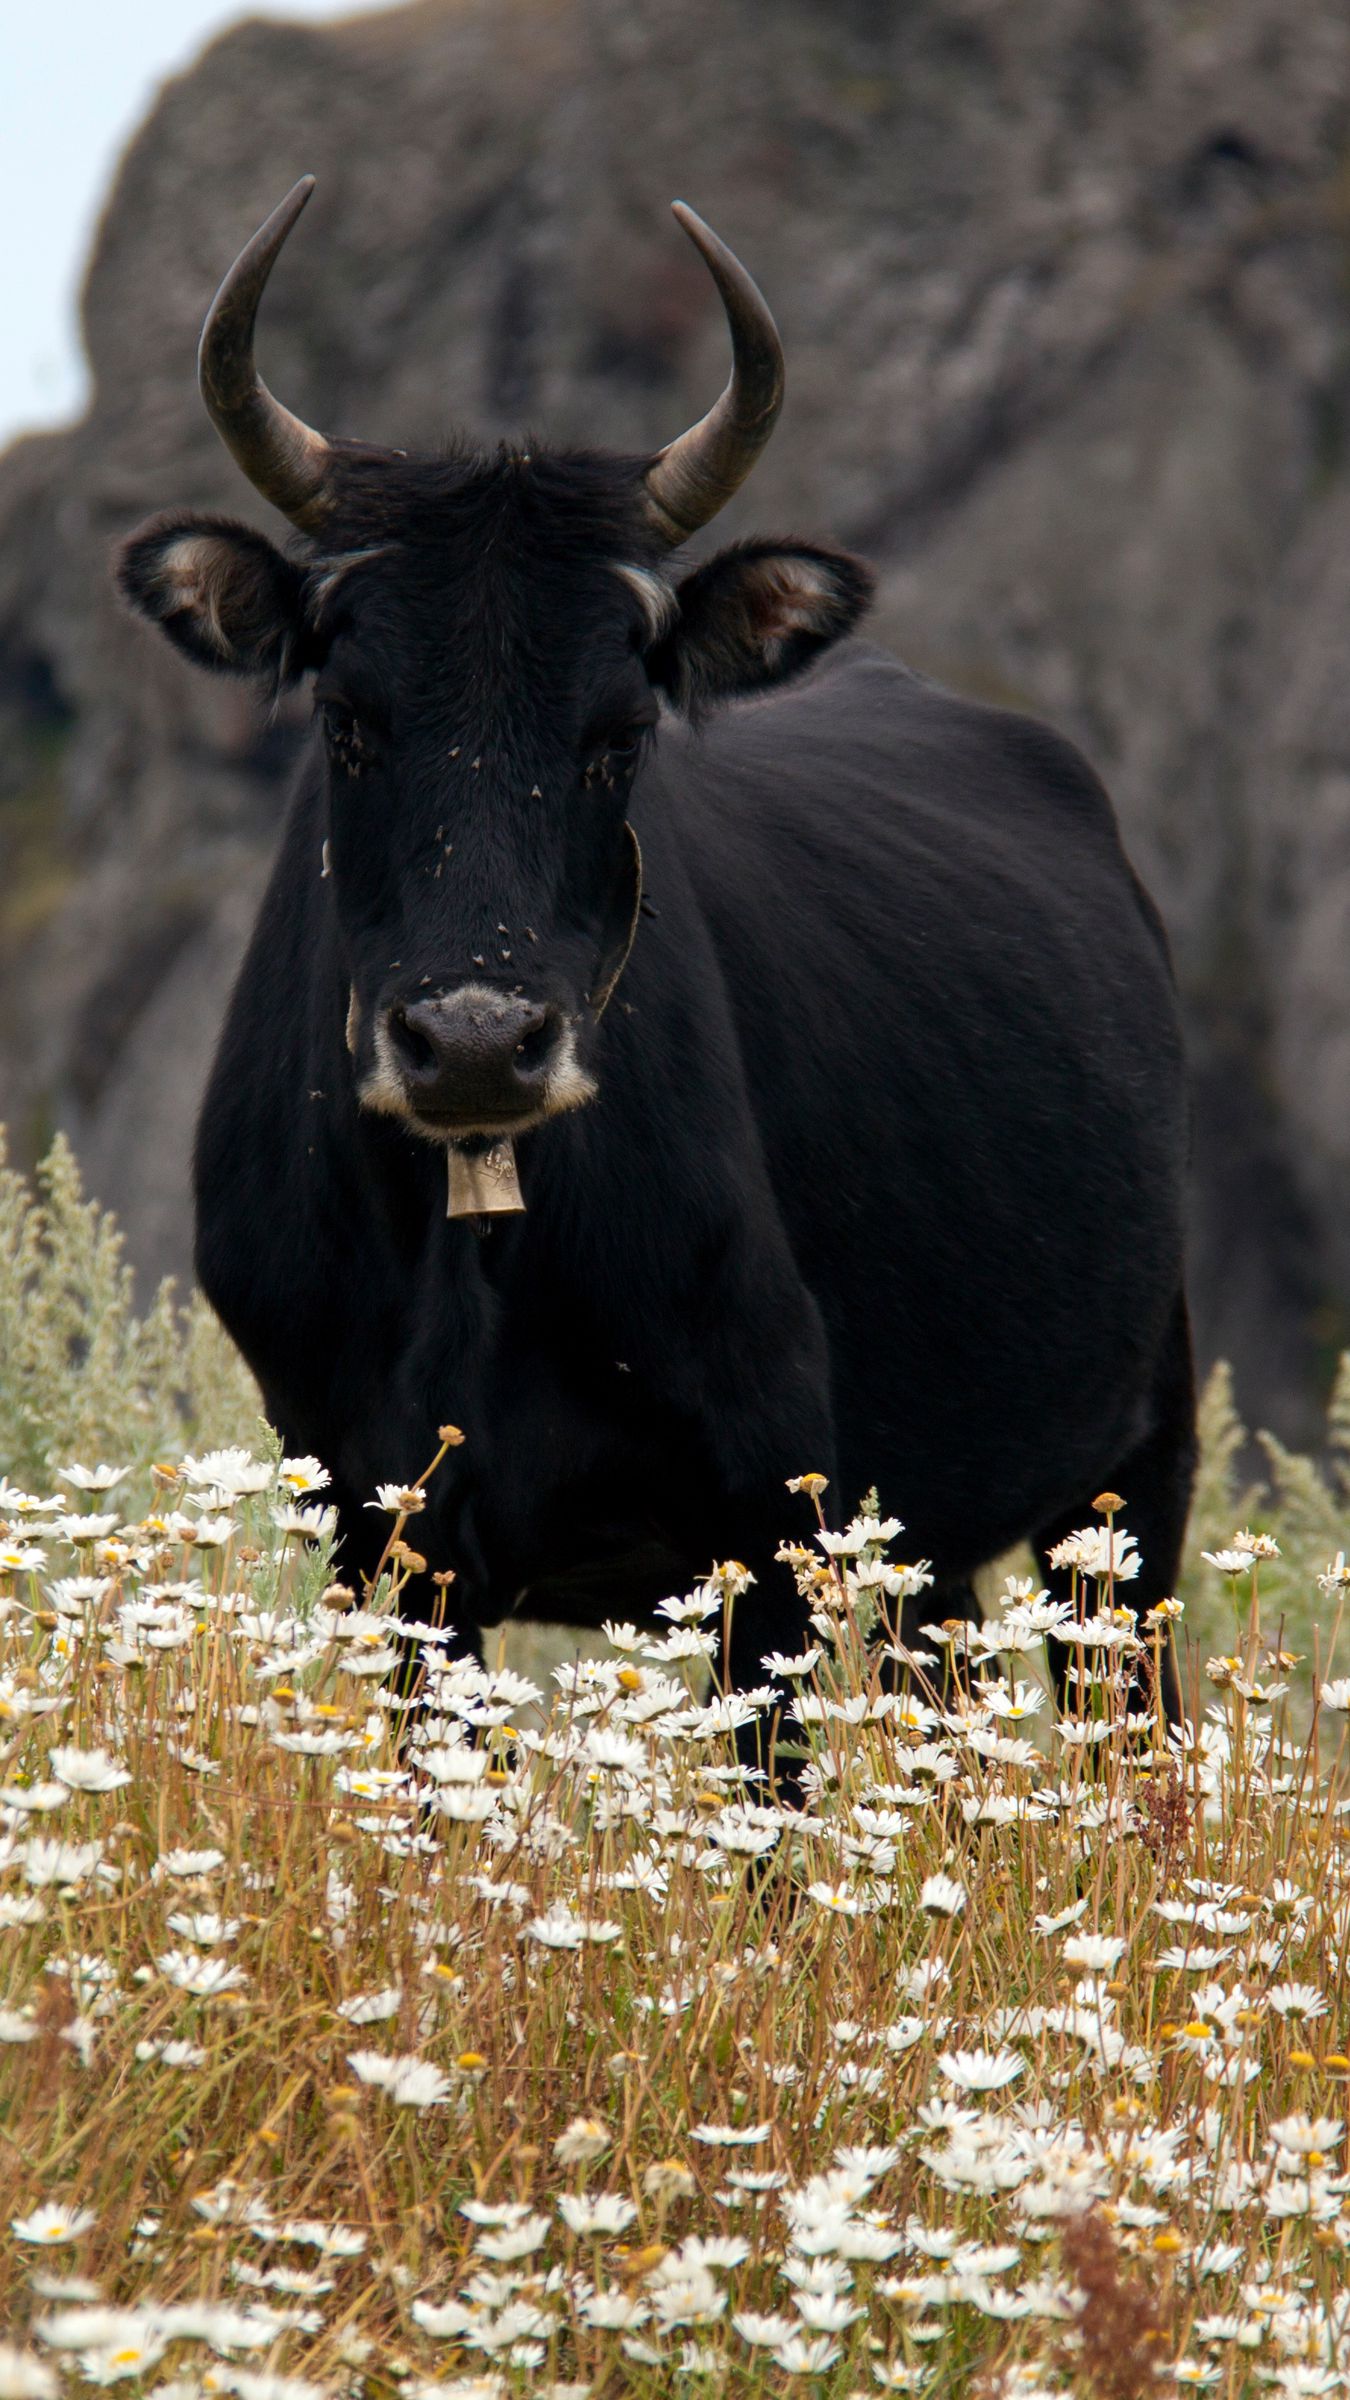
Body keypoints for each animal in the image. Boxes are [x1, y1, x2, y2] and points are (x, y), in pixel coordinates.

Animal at [116, 179, 1194, 1748]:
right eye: (348, 721)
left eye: (618, 734)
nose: (476, 1039)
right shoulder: (384, 1533)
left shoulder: (770, 1518)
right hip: (929, 1537)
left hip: (1130, 1469)